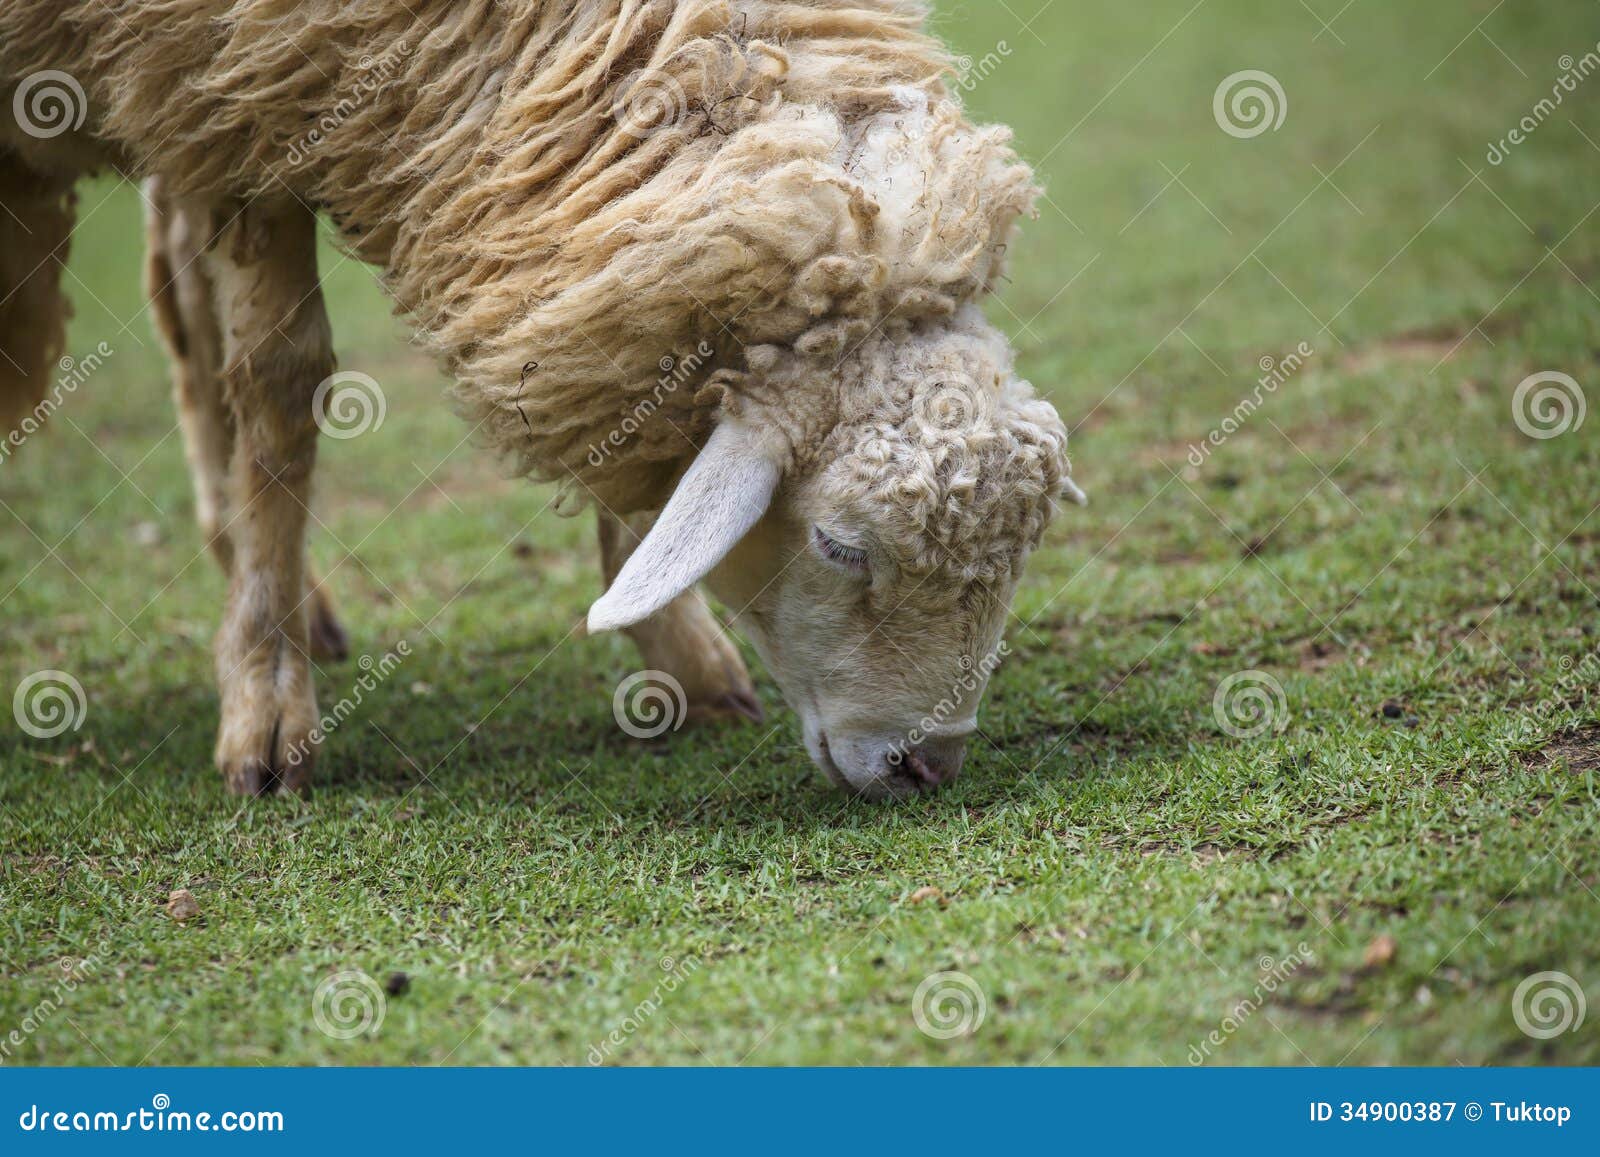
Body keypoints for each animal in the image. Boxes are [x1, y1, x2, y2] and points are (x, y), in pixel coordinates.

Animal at [0, 1, 1083, 800]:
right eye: (839, 546)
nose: (928, 765)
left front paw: (678, 652)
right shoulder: (235, 84)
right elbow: (282, 380)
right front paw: (267, 708)